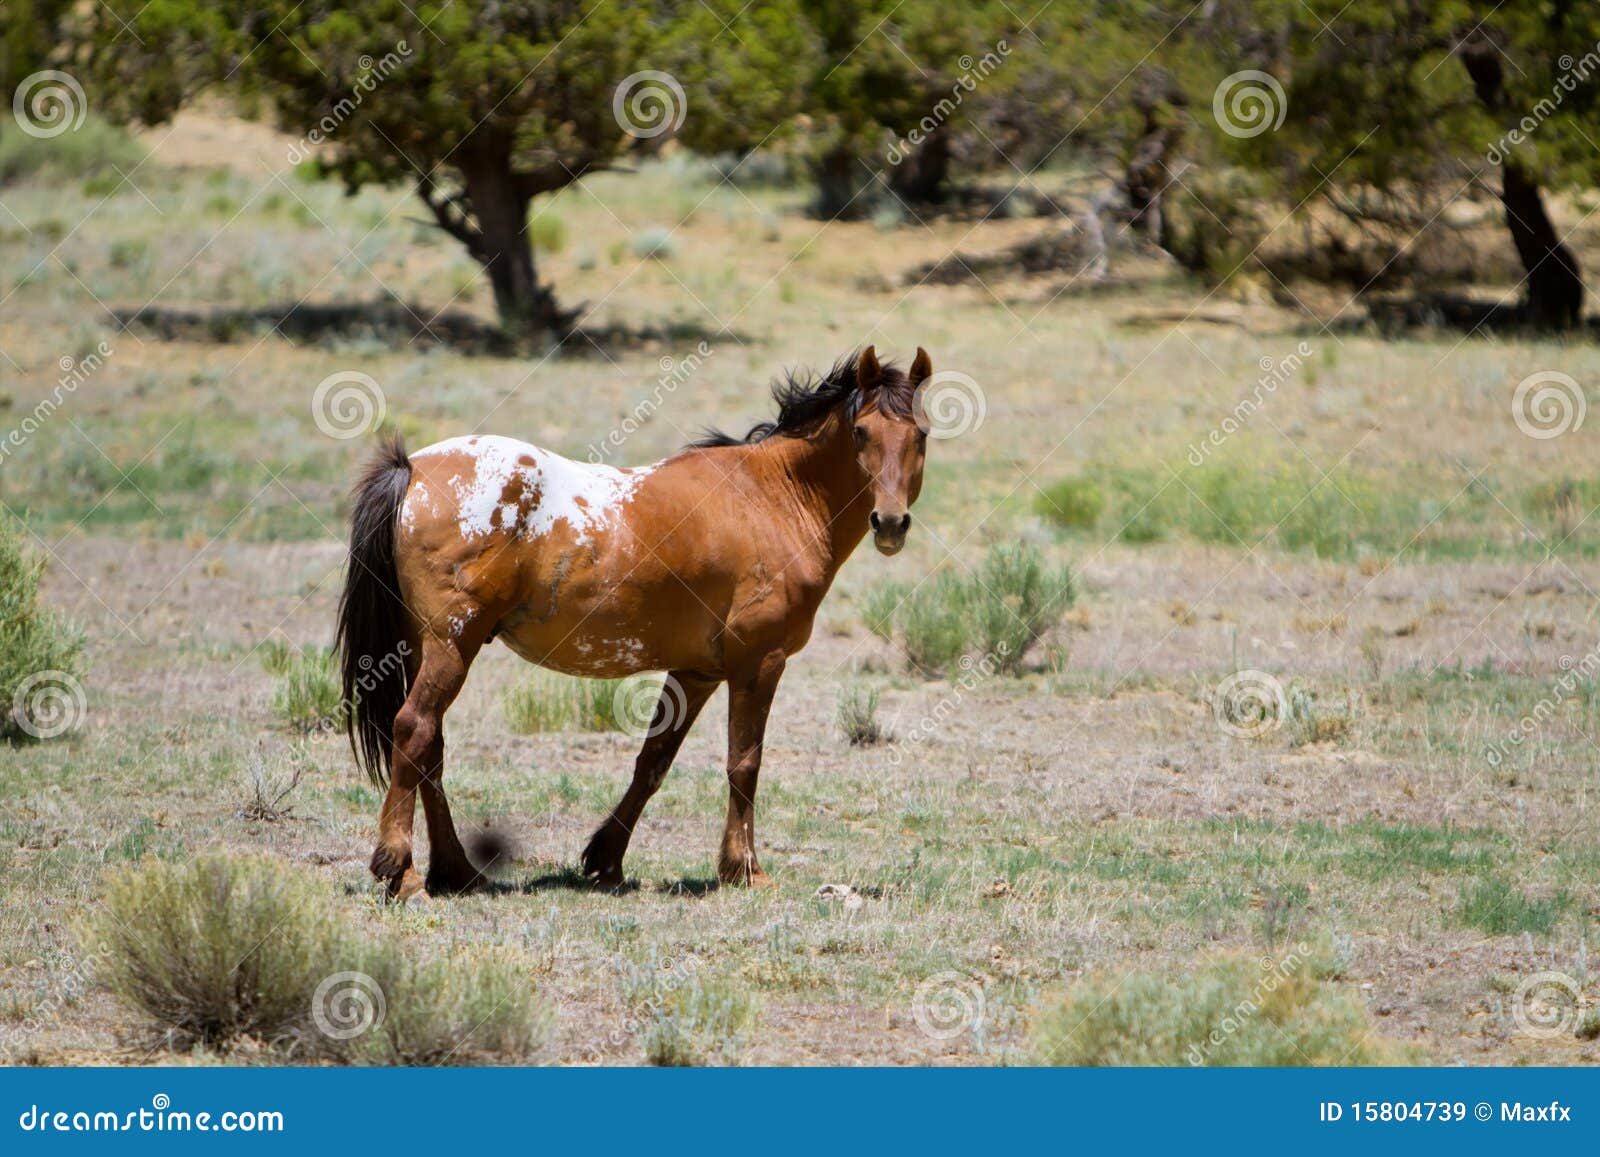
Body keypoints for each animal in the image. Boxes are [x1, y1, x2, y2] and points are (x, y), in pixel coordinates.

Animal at [335, 346, 934, 901]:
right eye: (861, 431)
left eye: (921, 434)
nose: (890, 523)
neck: (773, 496)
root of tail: (414, 467)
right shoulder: (758, 664)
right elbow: (744, 763)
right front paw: (744, 869)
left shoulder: (696, 672)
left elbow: (653, 761)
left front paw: (606, 860)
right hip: (452, 645)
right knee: (414, 729)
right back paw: (404, 873)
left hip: (426, 649)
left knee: (430, 748)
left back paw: (457, 871)